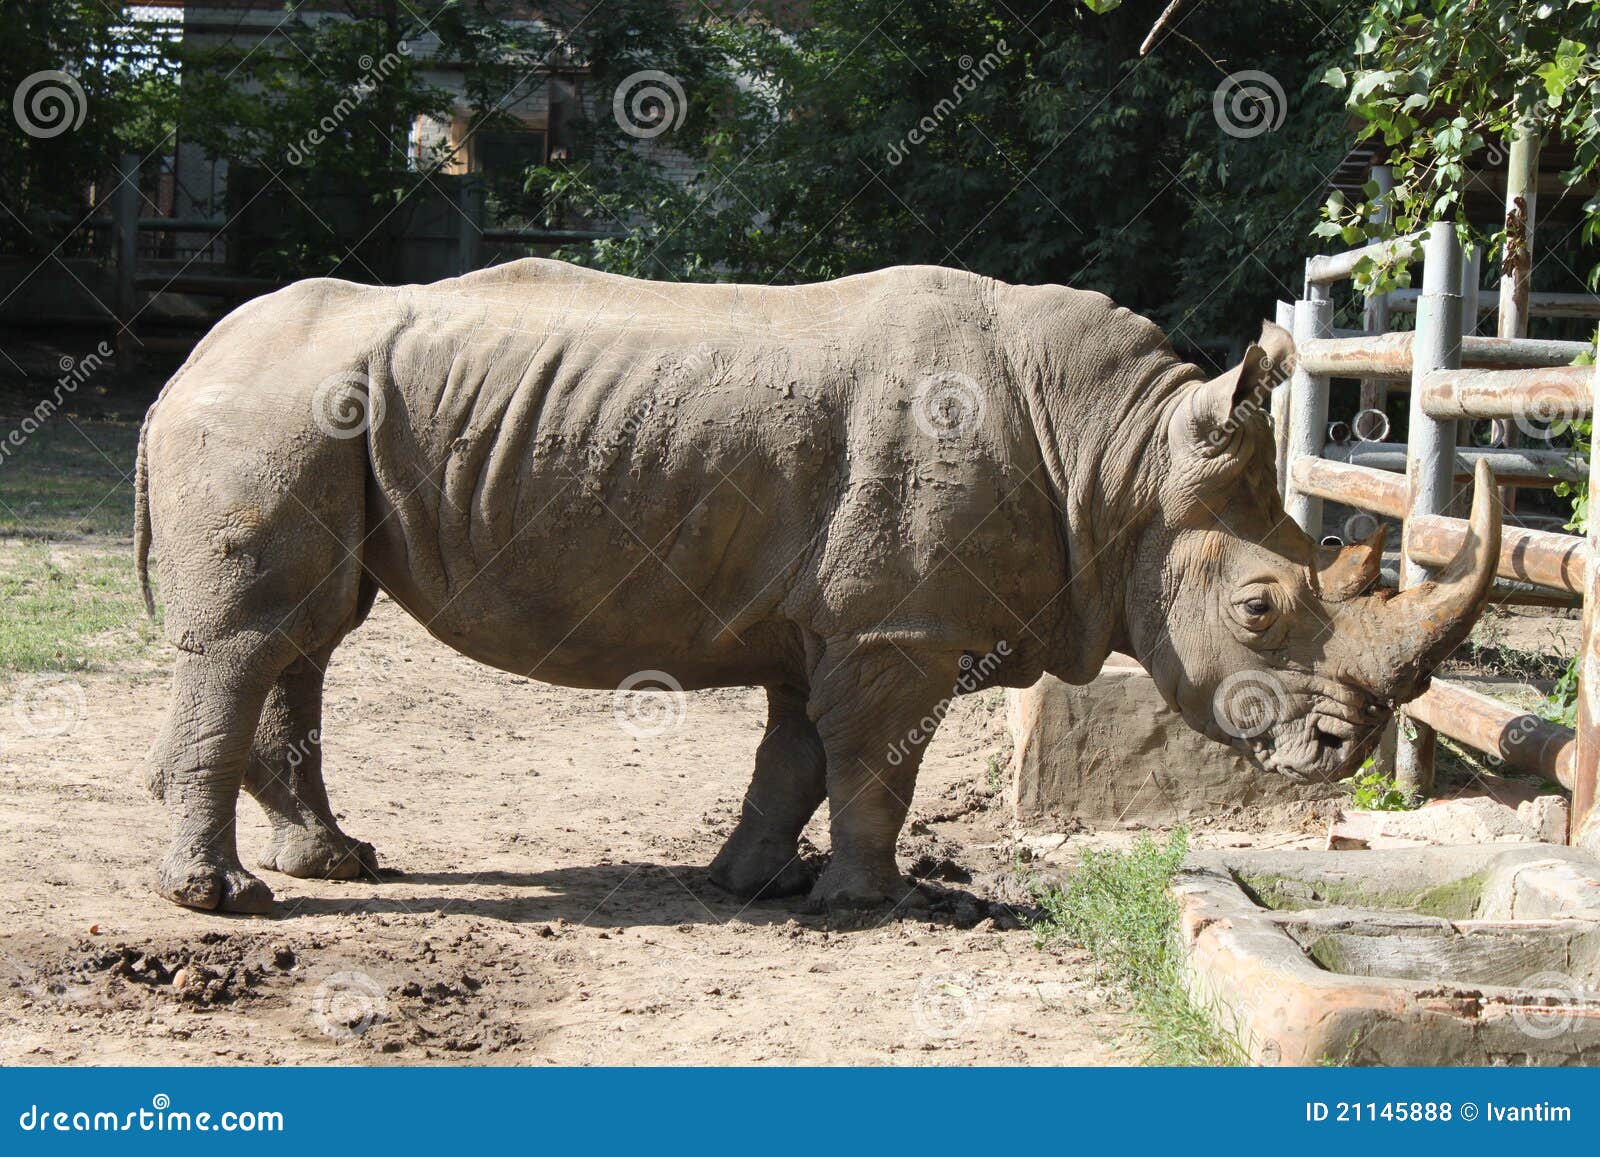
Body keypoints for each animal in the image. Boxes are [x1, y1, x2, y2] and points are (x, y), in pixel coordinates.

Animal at [134, 259, 1500, 913]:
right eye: (1259, 608)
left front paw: (748, 884)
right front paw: (870, 901)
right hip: (269, 408)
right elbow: (874, 757)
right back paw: (229, 903)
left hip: (314, 408)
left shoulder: (838, 612)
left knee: (310, 633)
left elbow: (793, 751)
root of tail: (185, 361)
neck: (1118, 459)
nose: (1339, 749)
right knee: (259, 634)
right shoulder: (899, 621)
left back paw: (338, 862)